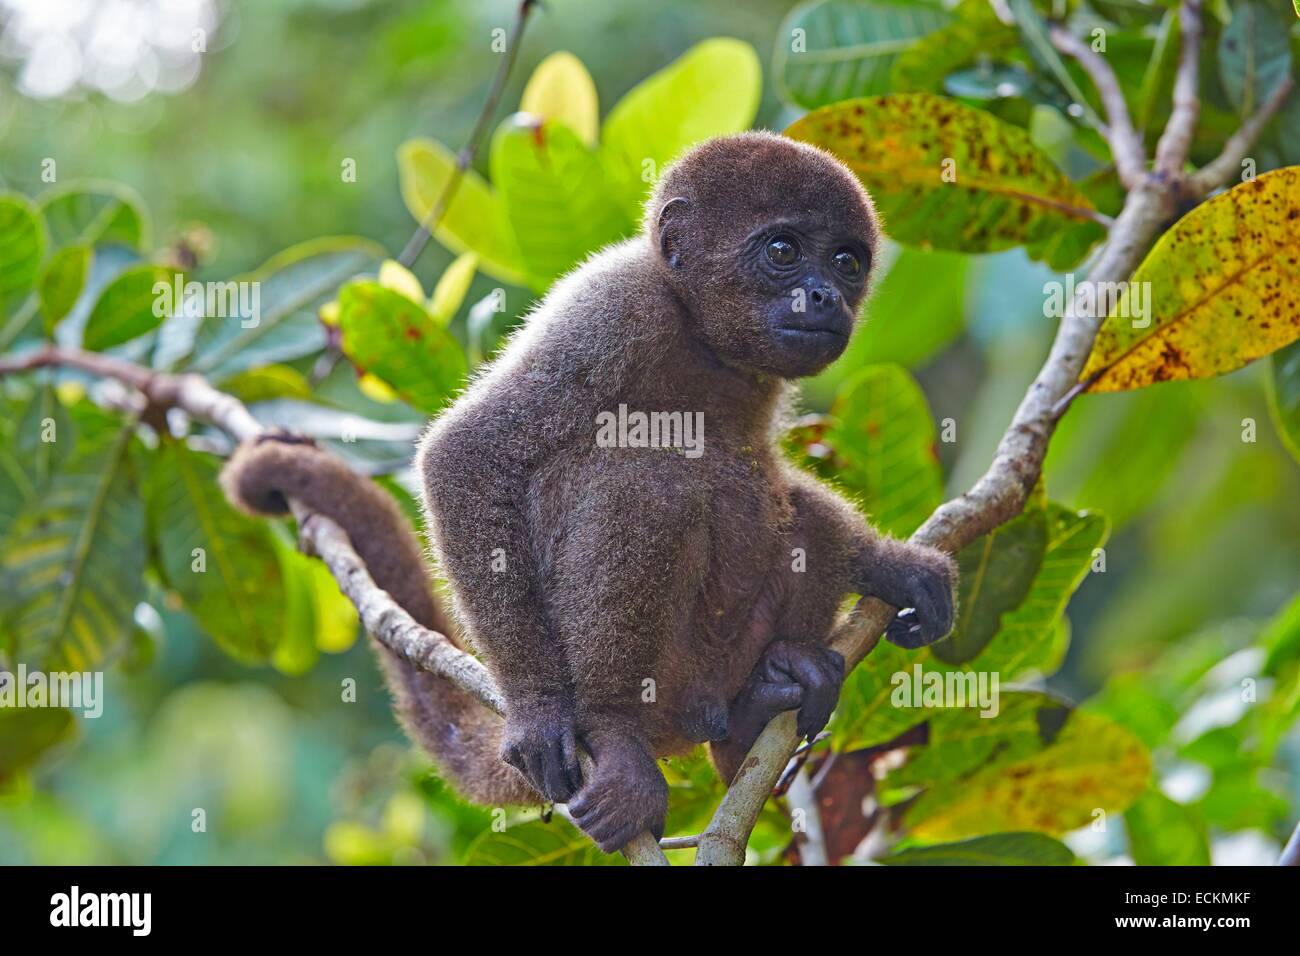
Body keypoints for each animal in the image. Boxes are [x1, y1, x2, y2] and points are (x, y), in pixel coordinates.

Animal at [222, 130, 957, 853]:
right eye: (783, 251)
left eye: (847, 263)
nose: (827, 296)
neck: (700, 335)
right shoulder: (611, 308)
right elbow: (469, 452)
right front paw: (539, 710)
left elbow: (773, 472)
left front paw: (895, 567)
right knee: (647, 486)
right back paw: (617, 733)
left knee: (797, 515)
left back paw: (756, 710)